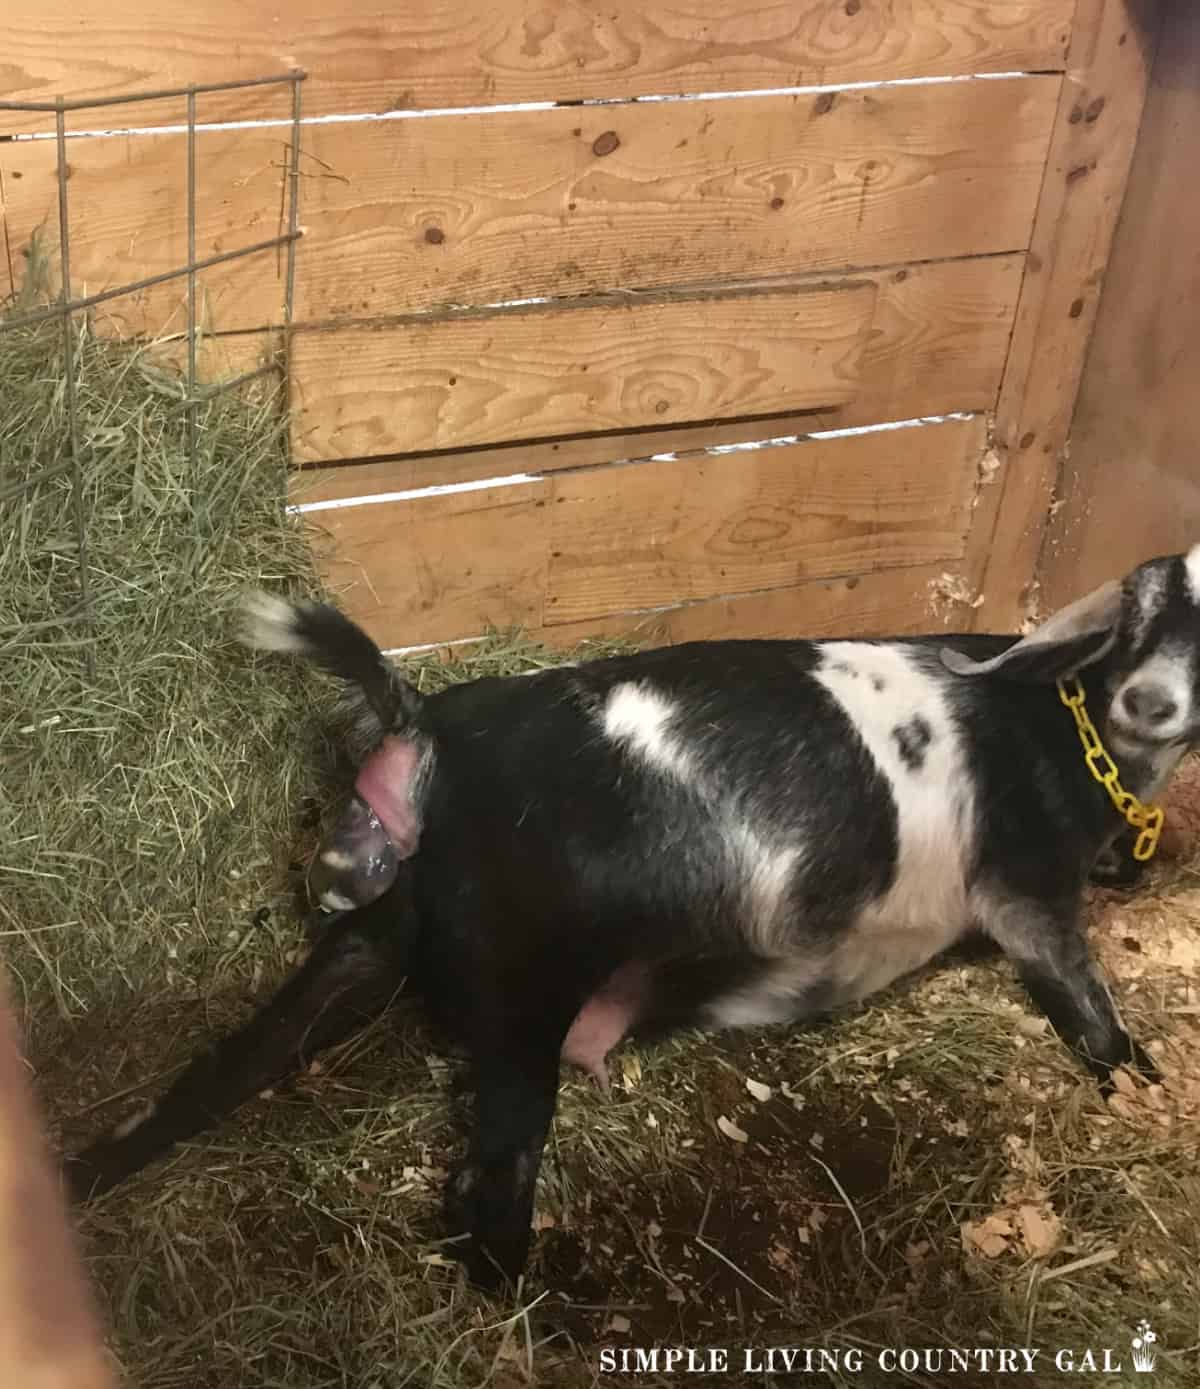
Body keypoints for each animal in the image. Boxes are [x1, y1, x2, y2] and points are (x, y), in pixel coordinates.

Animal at [64, 549, 1200, 1289]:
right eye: (1142, 613)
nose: (1151, 700)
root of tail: (429, 733)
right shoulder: (1025, 879)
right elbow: (1080, 995)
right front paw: (1146, 1083)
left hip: (376, 935)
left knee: (224, 1066)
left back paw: (78, 1181)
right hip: (524, 972)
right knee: (488, 1189)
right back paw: (542, 1296)